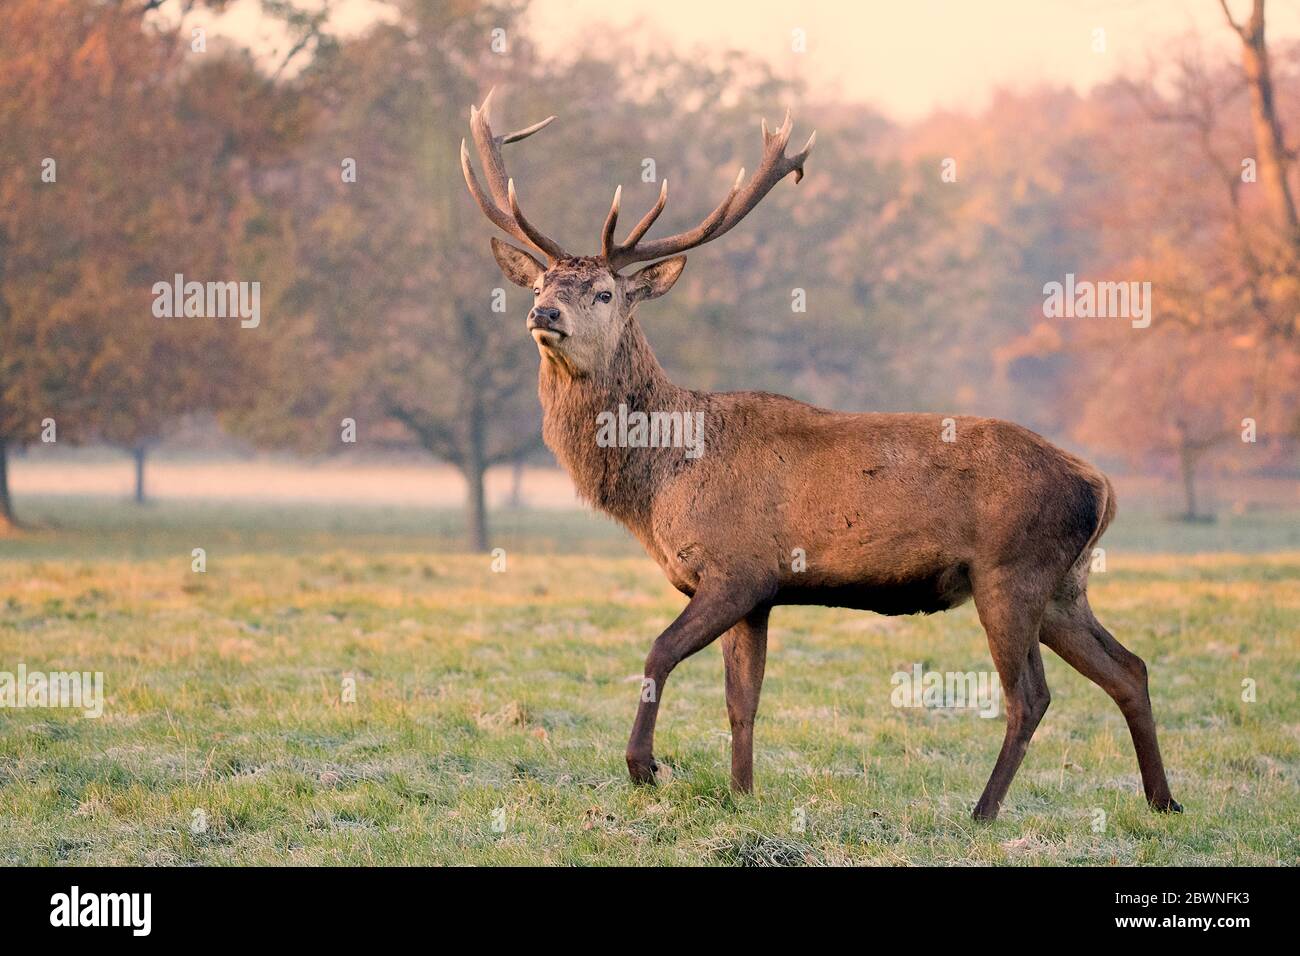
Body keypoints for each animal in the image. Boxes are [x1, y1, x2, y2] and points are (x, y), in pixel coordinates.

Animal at [460, 89, 1181, 821]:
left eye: (605, 292)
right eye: (540, 285)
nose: (544, 315)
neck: (662, 480)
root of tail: (1101, 486)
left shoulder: (738, 567)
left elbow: (659, 653)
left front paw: (643, 767)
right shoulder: (758, 593)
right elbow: (742, 701)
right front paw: (741, 793)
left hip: (1011, 571)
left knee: (1030, 695)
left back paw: (982, 812)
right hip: (1065, 584)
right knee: (1130, 668)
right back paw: (1162, 802)